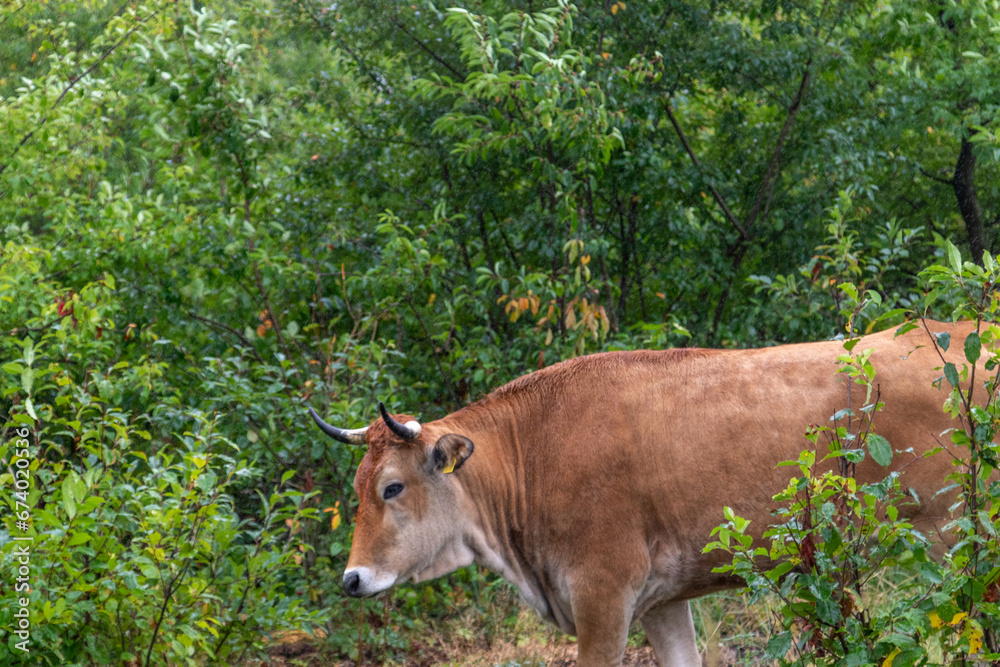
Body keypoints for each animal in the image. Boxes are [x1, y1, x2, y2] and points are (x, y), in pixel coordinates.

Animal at [309, 320, 981, 666]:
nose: (351, 579)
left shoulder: (602, 596)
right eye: (358, 488)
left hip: (955, 533)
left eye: (393, 486)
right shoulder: (662, 600)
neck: (533, 452)